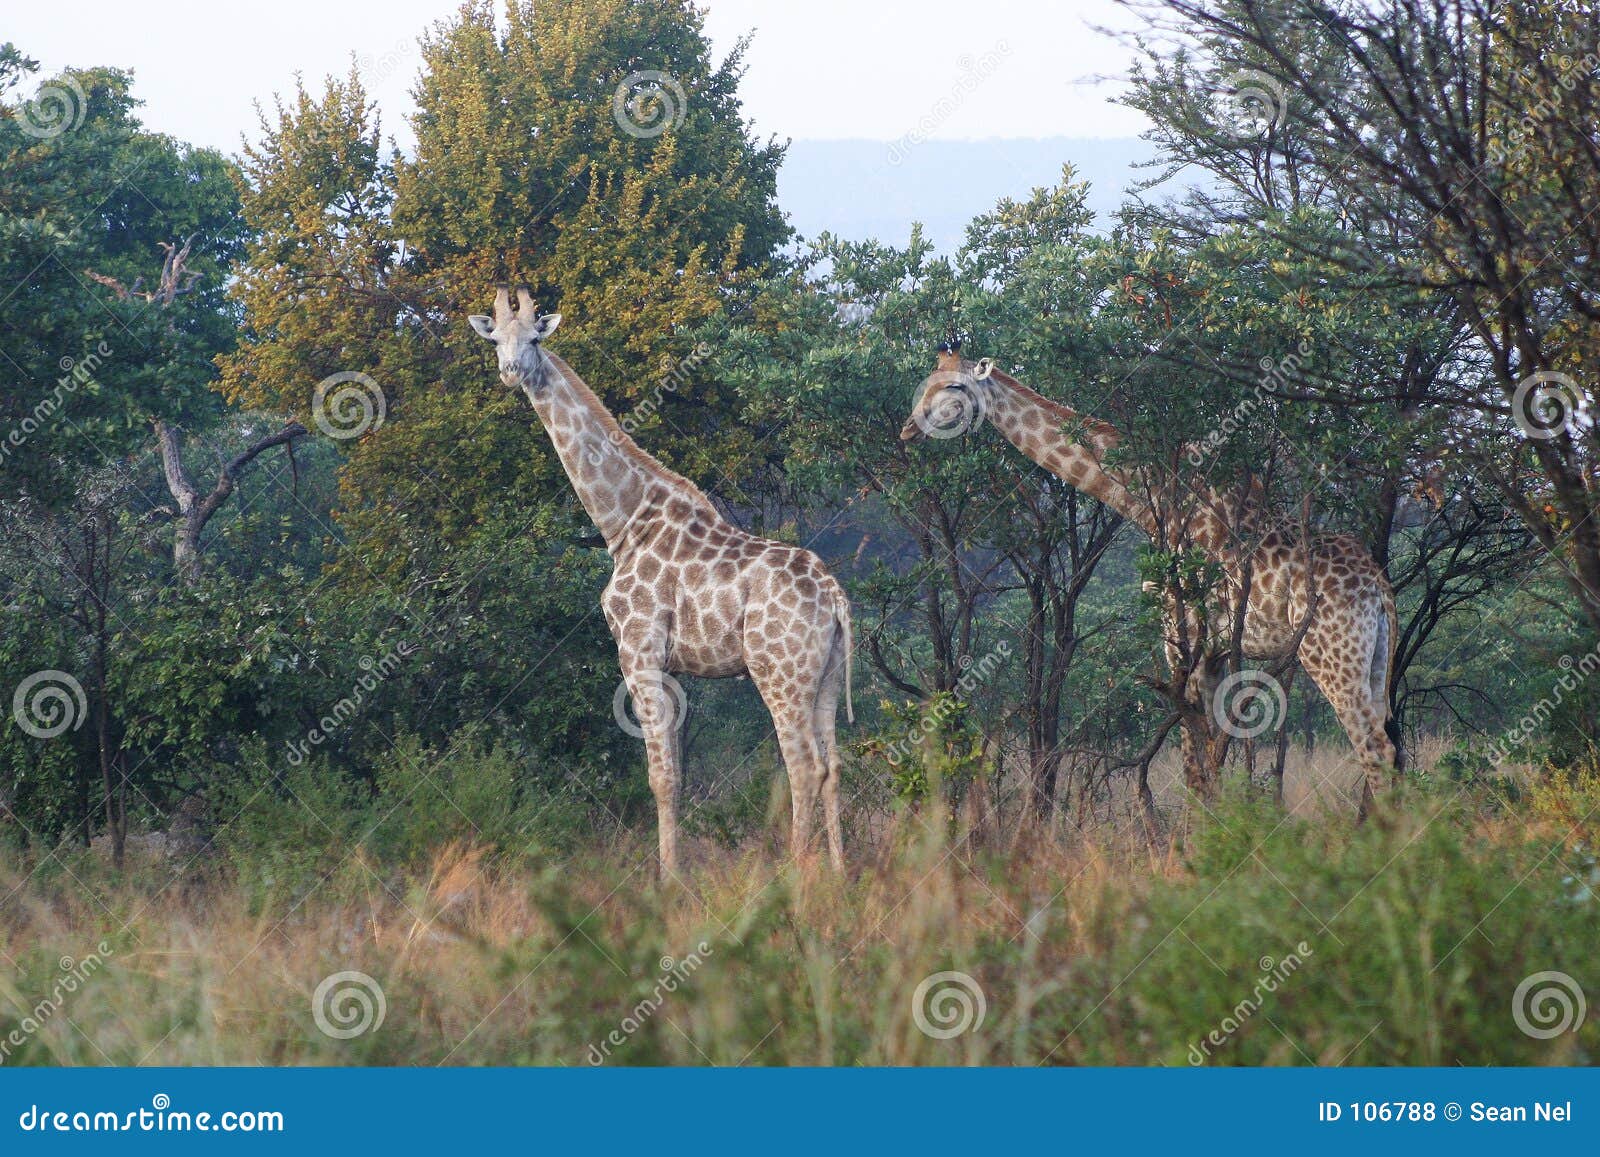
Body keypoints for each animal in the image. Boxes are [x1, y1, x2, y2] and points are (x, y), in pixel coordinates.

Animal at [469, 288, 853, 875]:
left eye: (535, 337)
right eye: (496, 340)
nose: (512, 372)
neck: (623, 521)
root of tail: (834, 597)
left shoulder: (638, 649)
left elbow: (661, 777)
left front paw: (668, 879)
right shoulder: (672, 664)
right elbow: (676, 772)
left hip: (779, 670)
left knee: (804, 766)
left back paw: (795, 873)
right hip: (827, 672)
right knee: (833, 765)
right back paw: (837, 873)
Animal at [900, 343, 1401, 815]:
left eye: (955, 387)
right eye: (927, 380)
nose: (908, 428)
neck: (1149, 500)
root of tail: (1380, 590)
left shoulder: (1181, 636)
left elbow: (1193, 763)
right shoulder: (1216, 651)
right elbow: (1211, 754)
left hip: (1332, 656)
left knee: (1375, 750)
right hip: (1374, 662)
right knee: (1391, 748)